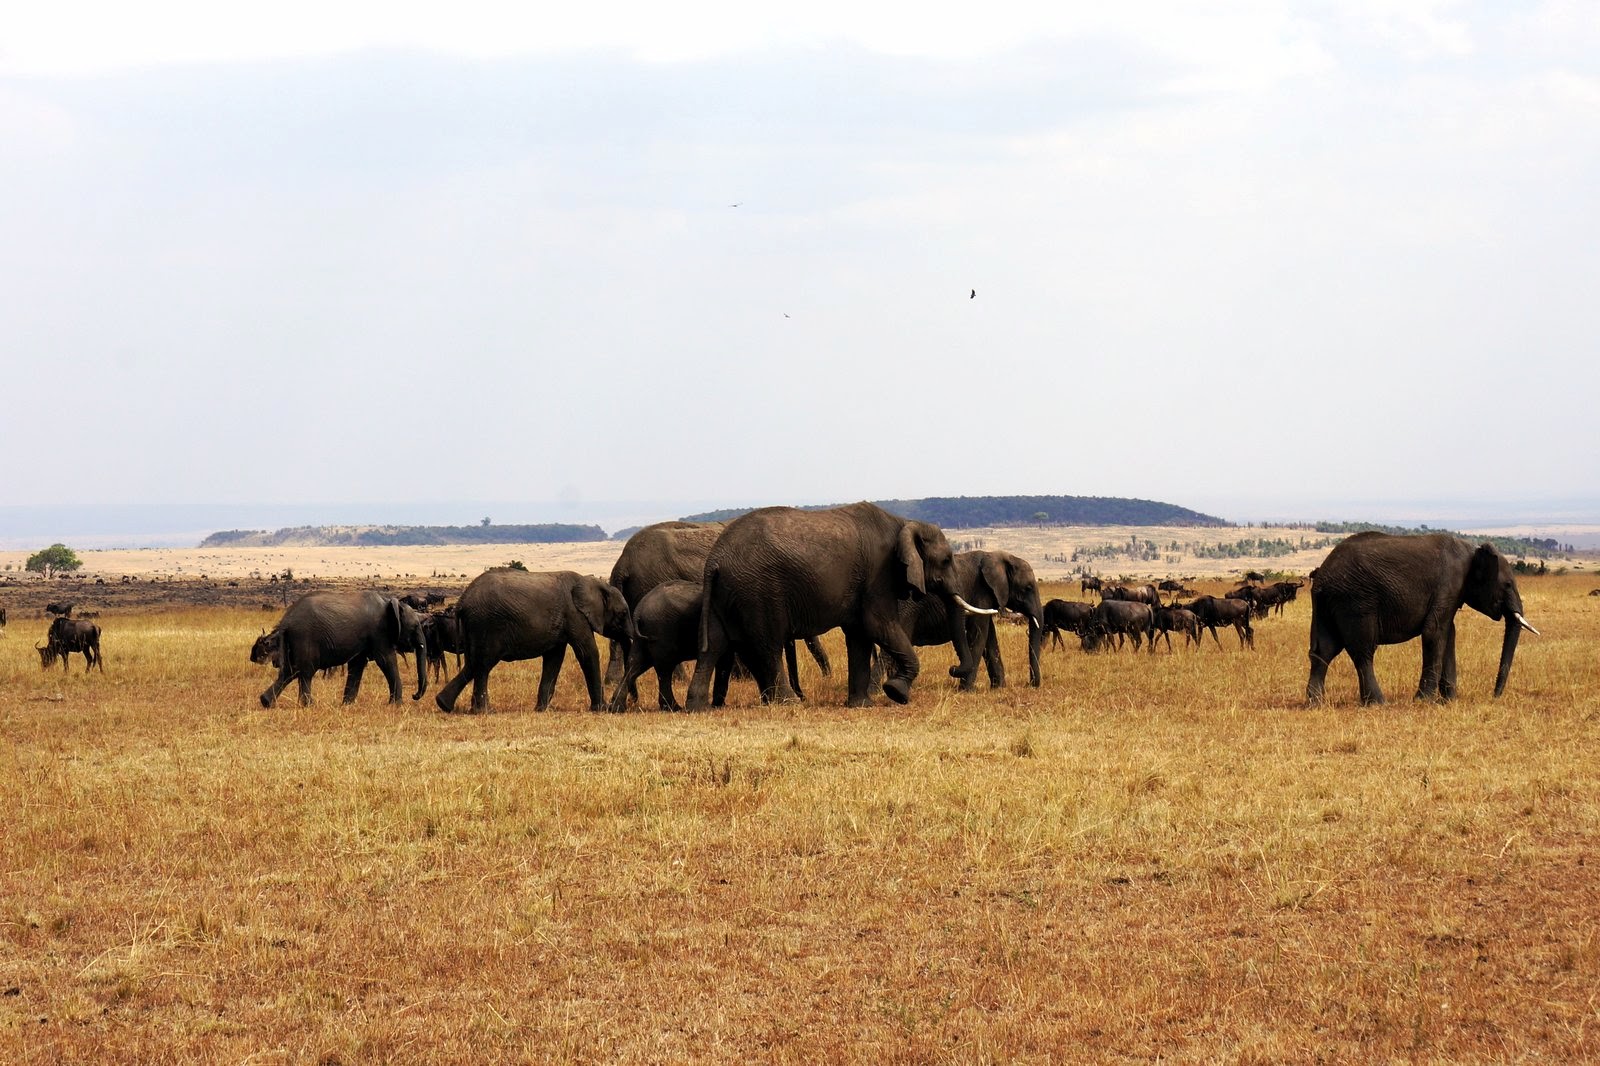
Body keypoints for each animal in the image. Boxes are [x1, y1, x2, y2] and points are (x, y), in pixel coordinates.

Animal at [258, 591, 428, 708]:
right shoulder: (379, 632)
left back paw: (266, 702)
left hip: (293, 641)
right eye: (415, 626)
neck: (389, 602)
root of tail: (286, 621)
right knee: (304, 672)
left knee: (289, 672)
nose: (415, 695)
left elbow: (357, 665)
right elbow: (386, 661)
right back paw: (309, 705)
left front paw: (347, 704)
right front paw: (396, 705)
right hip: (304, 638)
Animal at [434, 569, 632, 714]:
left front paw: (542, 710)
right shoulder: (575, 615)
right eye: (623, 614)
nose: (615, 707)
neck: (592, 583)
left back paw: (444, 704)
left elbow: (554, 659)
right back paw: (485, 711)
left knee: (472, 664)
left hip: (474, 627)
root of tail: (462, 602)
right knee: (483, 665)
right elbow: (587, 653)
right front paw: (601, 709)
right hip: (485, 624)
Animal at [684, 503, 995, 709]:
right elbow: (878, 626)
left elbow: (859, 634)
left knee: (714, 644)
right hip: (758, 591)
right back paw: (788, 703)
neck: (905, 522)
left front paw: (862, 704)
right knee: (766, 645)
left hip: (727, 592)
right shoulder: (878, 573)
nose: (953, 669)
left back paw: (698, 707)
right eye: (946, 560)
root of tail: (714, 561)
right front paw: (896, 693)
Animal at [1305, 532, 1538, 706]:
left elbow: (1449, 632)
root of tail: (1322, 575)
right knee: (1363, 651)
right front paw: (1424, 701)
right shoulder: (1449, 583)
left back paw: (1316, 703)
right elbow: (1434, 632)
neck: (1473, 551)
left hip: (1327, 604)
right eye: (1507, 585)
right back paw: (1378, 703)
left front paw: (1449, 701)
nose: (1494, 696)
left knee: (1323, 650)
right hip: (1356, 601)